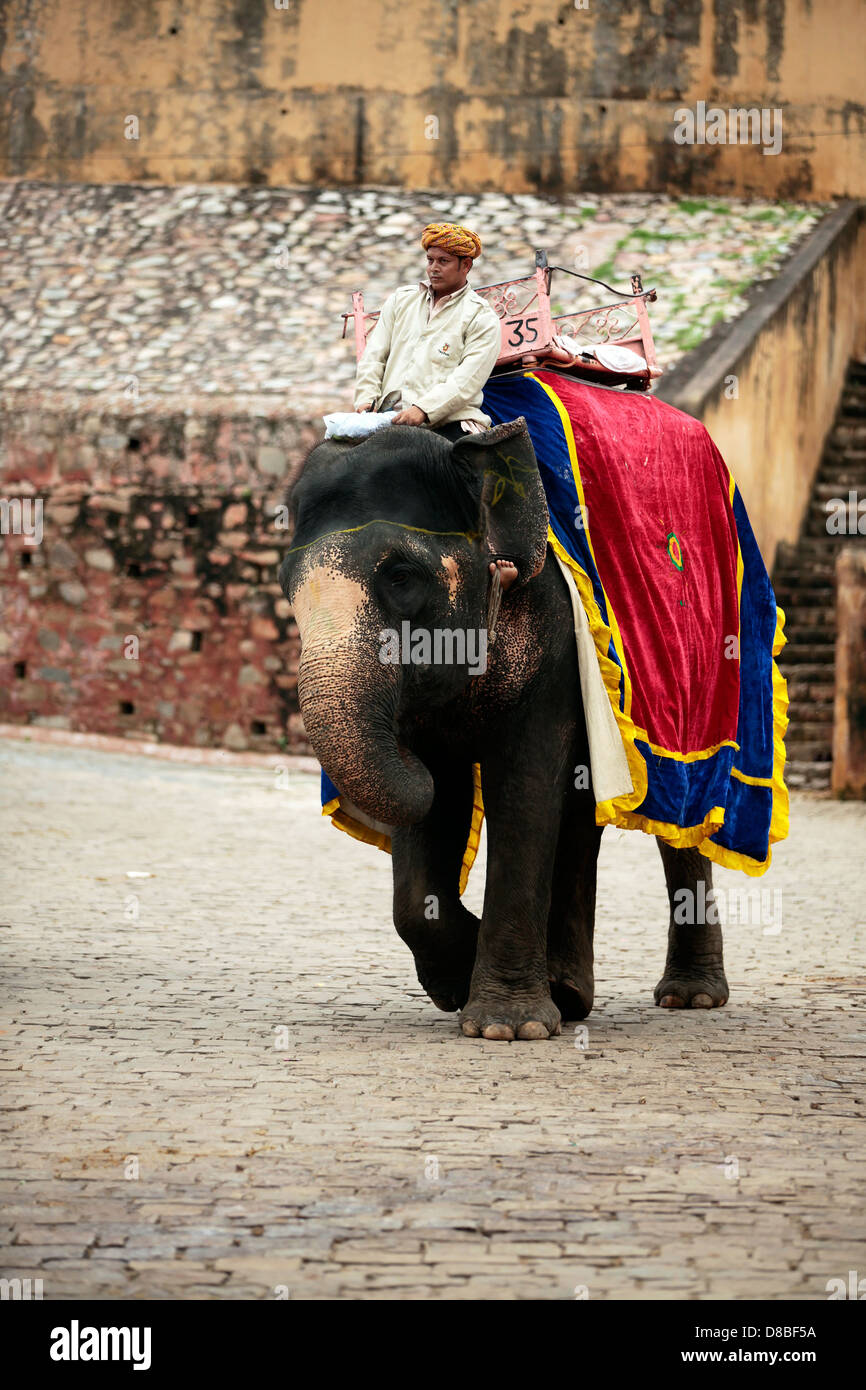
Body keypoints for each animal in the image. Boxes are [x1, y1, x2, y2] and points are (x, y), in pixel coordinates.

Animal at [278, 417, 729, 1041]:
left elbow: (525, 784)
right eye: (285, 586)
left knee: (677, 811)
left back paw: (688, 997)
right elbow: (437, 818)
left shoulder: (557, 640)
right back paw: (570, 993)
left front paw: (506, 1027)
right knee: (580, 813)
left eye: (401, 575)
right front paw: (458, 980)